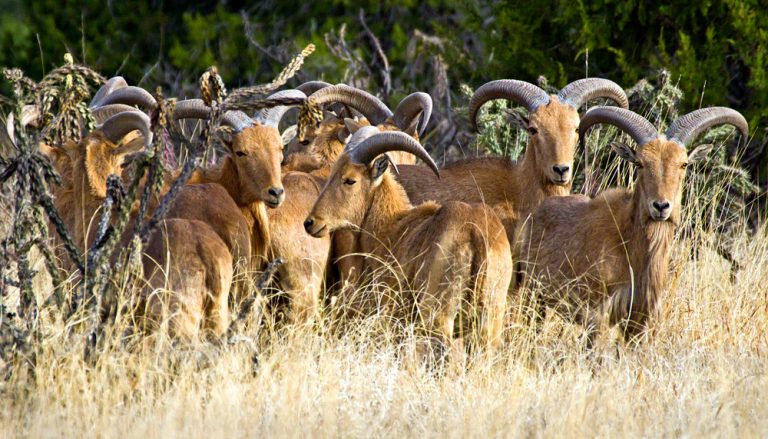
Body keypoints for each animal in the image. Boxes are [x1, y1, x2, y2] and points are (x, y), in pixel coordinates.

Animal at [304, 127, 512, 357]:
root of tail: (476, 232)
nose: (311, 222)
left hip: (438, 315)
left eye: (350, 180)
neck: (391, 227)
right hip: (490, 319)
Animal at [516, 106, 749, 343]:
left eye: (683, 164)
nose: (661, 206)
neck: (633, 250)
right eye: (639, 163)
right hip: (532, 296)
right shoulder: (597, 316)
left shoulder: (638, 321)